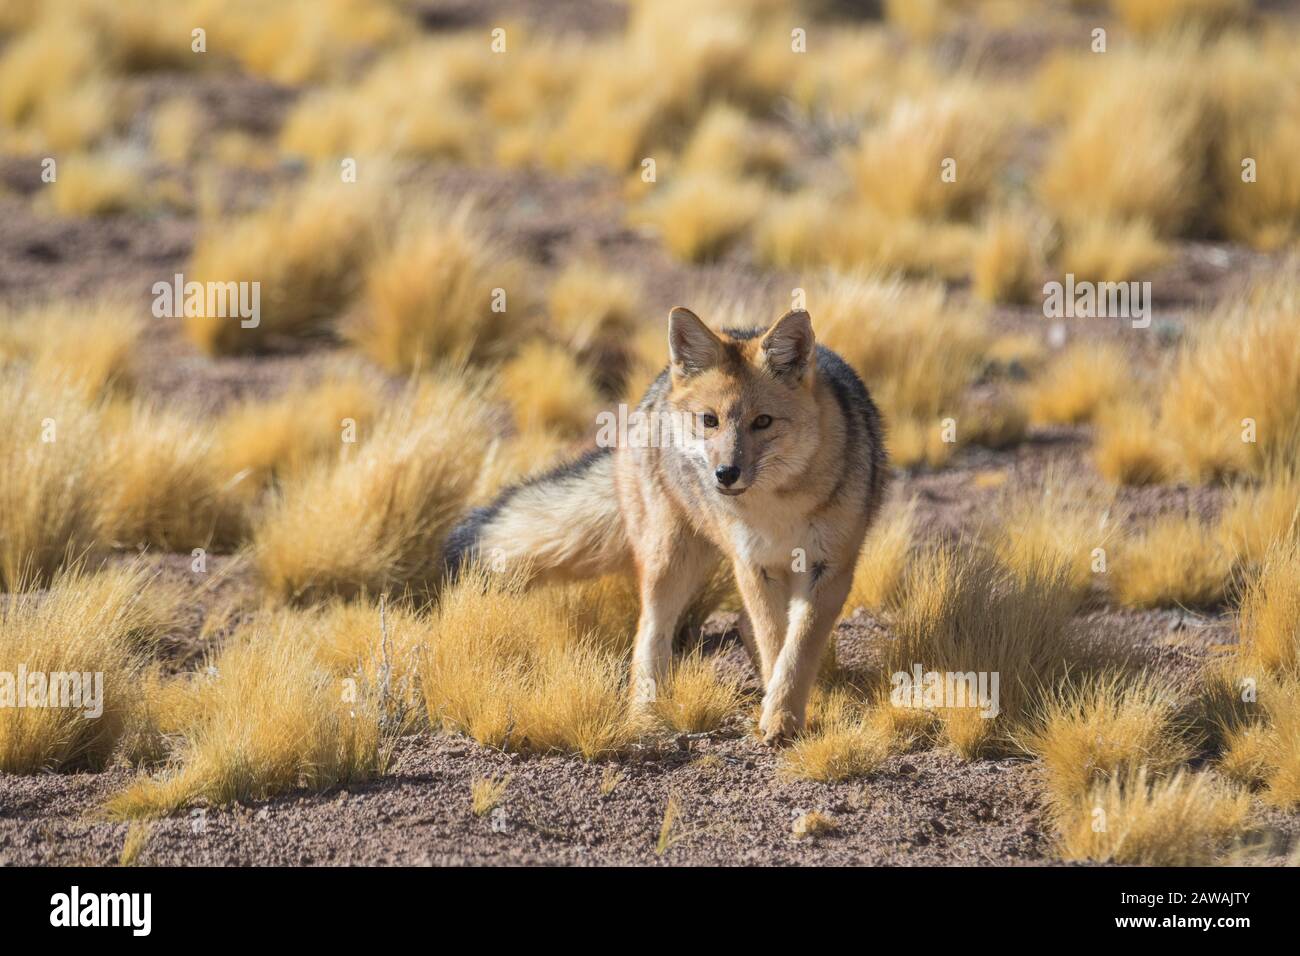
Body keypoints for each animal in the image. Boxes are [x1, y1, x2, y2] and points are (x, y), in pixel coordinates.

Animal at [444, 306, 888, 744]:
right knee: (649, 635)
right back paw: (645, 717)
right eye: (710, 420)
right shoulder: (755, 566)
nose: (726, 474)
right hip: (671, 563)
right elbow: (776, 643)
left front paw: (782, 715)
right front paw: (778, 717)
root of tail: (654, 393)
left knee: (741, 623)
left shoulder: (829, 570)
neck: (778, 509)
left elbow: (796, 650)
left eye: (762, 421)